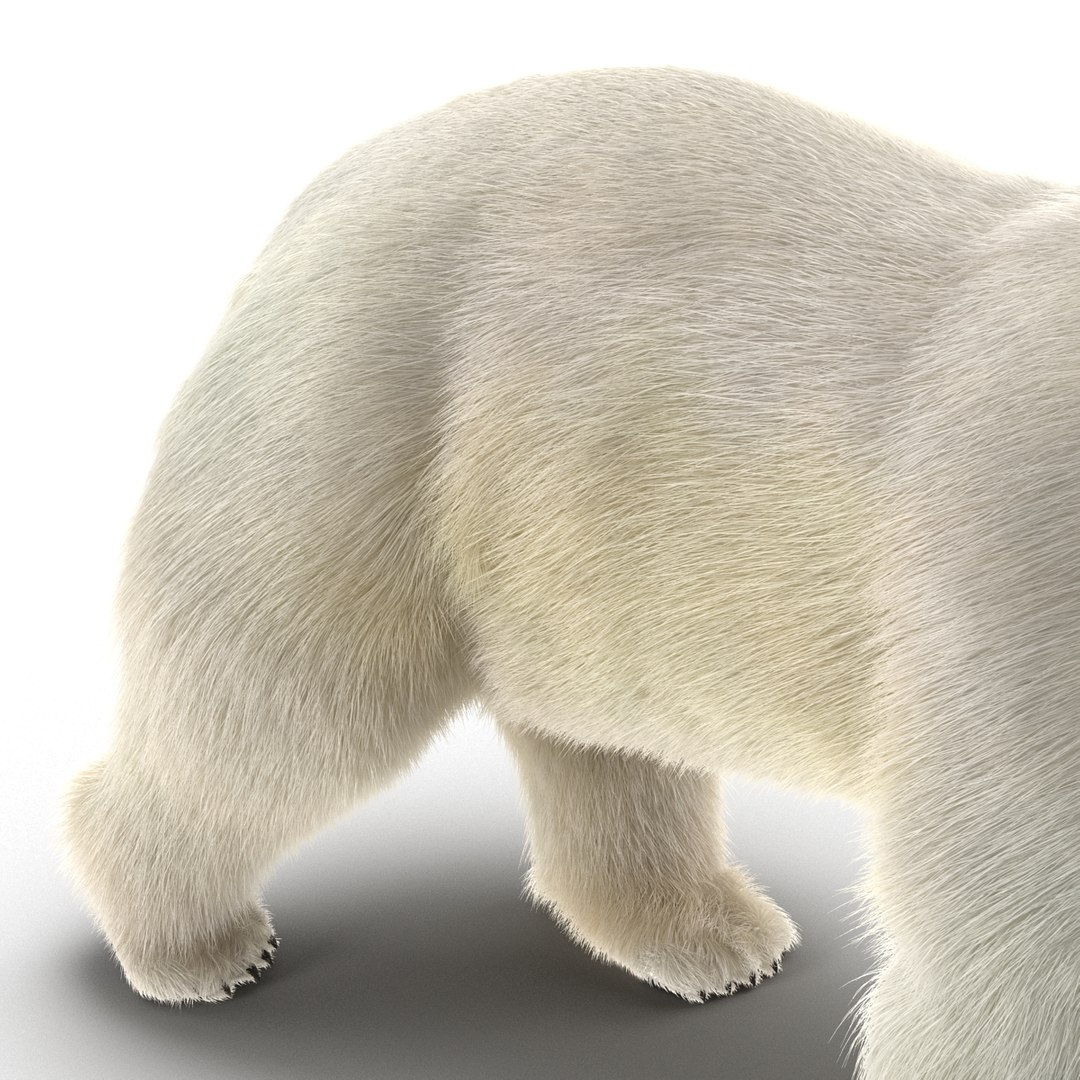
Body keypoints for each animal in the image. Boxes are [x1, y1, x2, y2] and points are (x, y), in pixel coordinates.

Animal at [60, 66, 1080, 1079]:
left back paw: (710, 935)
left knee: (602, 735)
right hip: (357, 413)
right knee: (281, 712)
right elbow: (1017, 946)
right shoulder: (1009, 583)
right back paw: (196, 949)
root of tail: (333, 180)